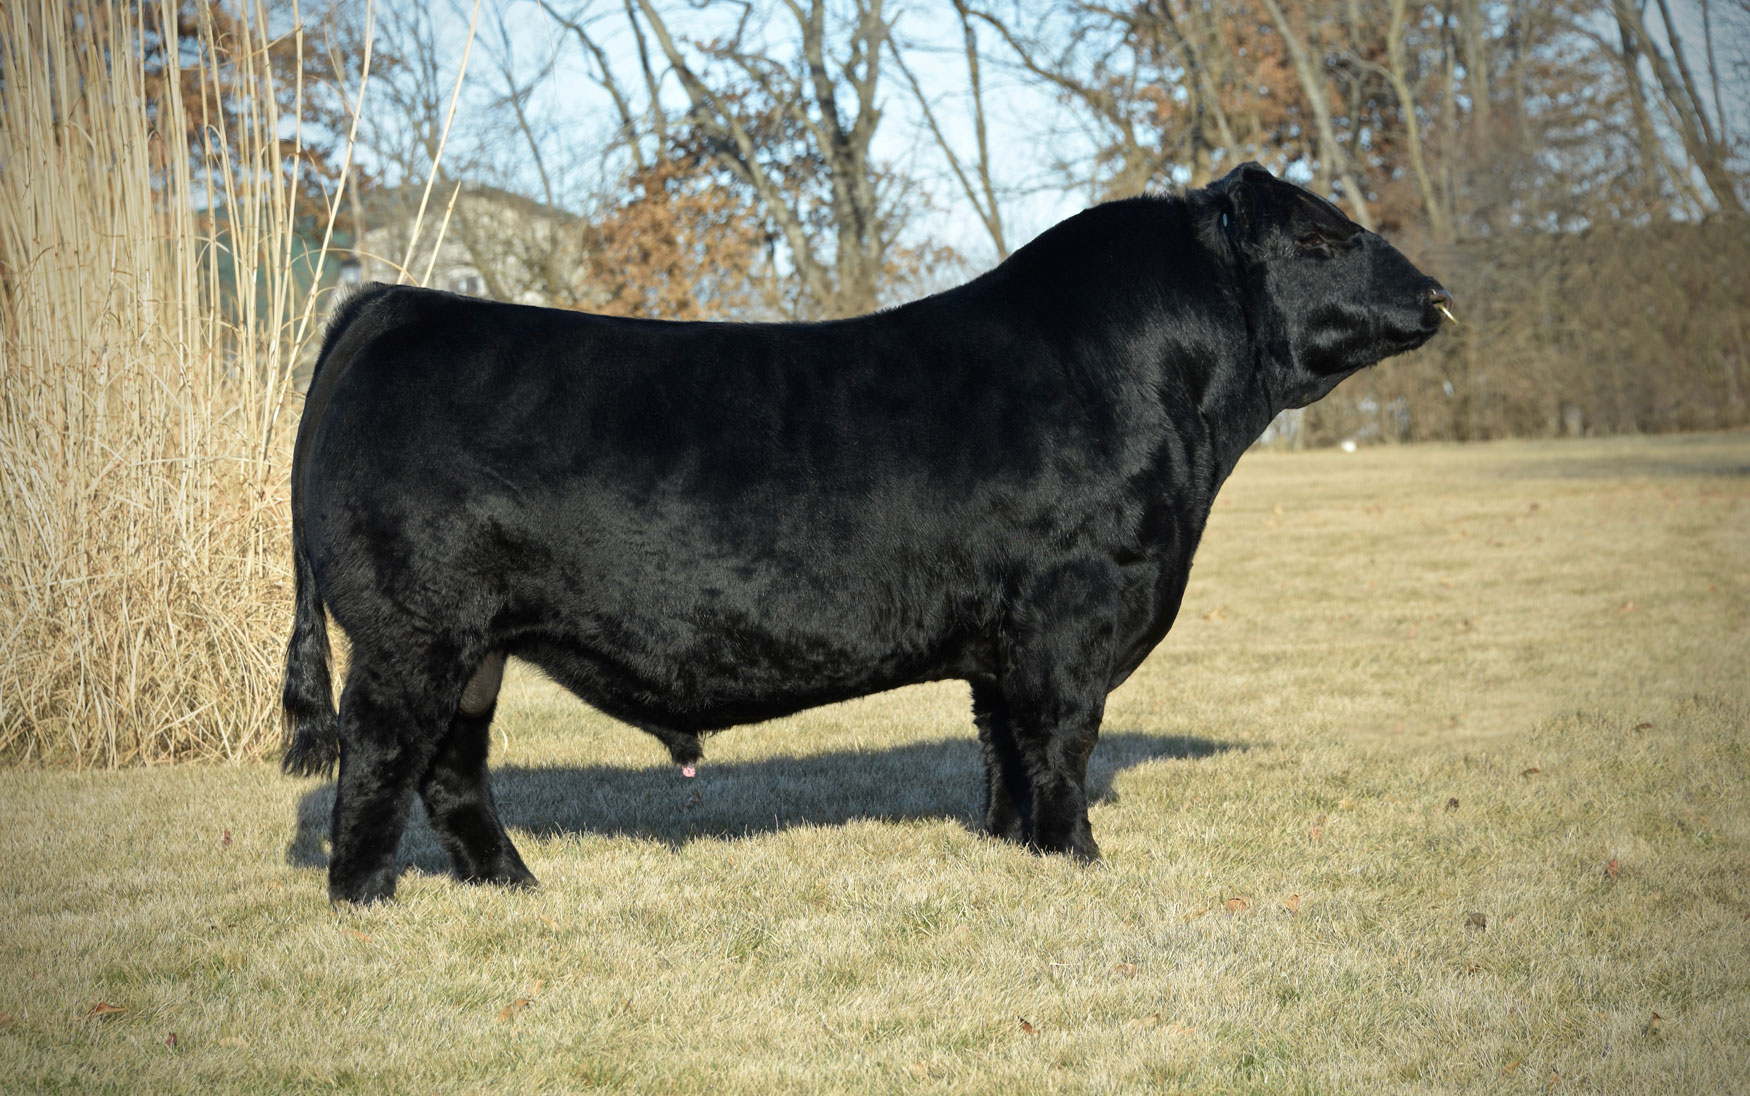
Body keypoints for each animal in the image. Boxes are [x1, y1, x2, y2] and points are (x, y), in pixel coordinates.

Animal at [282, 162, 1451, 904]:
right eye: (1322, 237)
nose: (1437, 290)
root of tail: (397, 302)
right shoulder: (1074, 611)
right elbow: (1063, 741)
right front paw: (1079, 857)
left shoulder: (1004, 639)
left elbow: (1004, 748)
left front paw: (1015, 851)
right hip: (413, 631)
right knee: (383, 757)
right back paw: (367, 900)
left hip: (472, 646)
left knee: (451, 767)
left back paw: (516, 886)